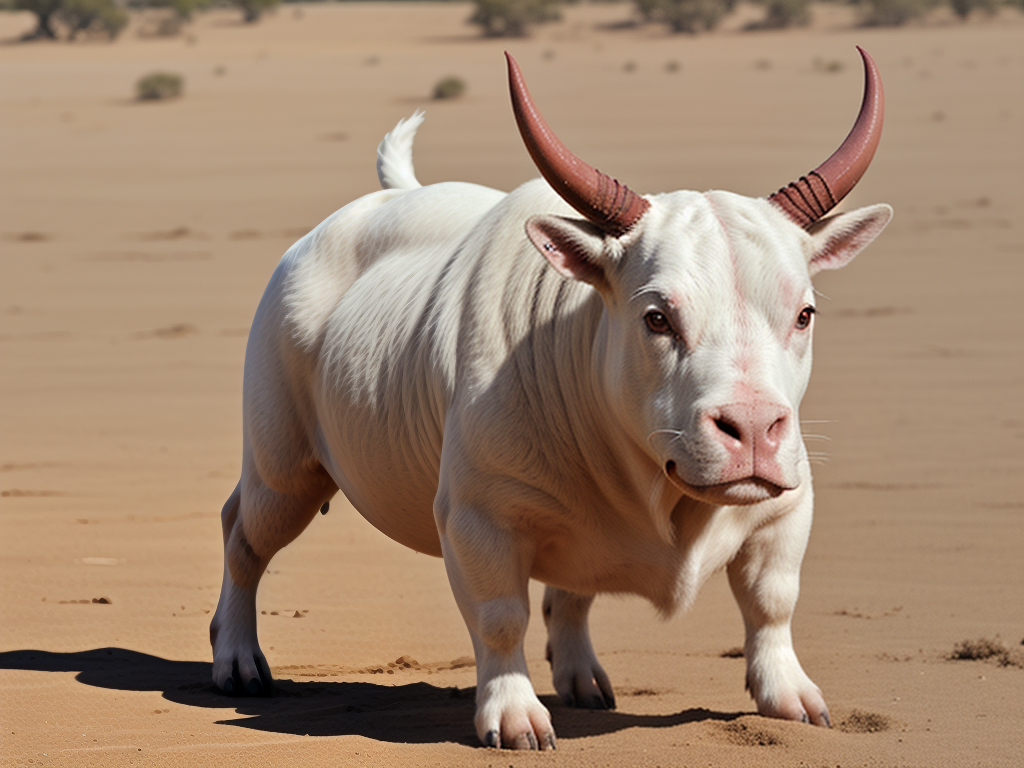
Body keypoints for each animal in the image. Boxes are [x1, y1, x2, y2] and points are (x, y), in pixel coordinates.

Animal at [209, 48, 891, 750]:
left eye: (804, 314)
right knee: (244, 534)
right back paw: (236, 658)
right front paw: (514, 715)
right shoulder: (479, 517)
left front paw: (790, 698)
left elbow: (771, 601)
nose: (753, 430)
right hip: (283, 470)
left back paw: (582, 676)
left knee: (573, 592)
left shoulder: (788, 504)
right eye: (656, 318)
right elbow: (499, 616)